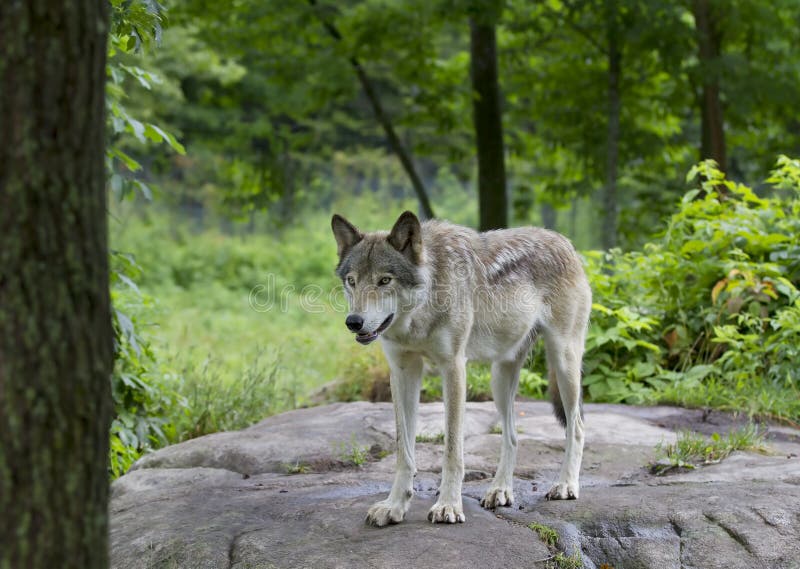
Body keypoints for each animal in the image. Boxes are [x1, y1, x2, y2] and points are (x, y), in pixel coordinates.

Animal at [331, 211, 591, 526]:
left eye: (384, 280)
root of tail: (565, 242)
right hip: (500, 378)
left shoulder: (453, 368)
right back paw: (500, 490)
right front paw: (394, 506)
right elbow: (404, 451)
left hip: (563, 363)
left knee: (576, 427)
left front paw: (448, 506)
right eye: (352, 281)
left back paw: (565, 485)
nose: (353, 322)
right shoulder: (403, 371)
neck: (421, 311)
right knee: (512, 436)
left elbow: (452, 450)